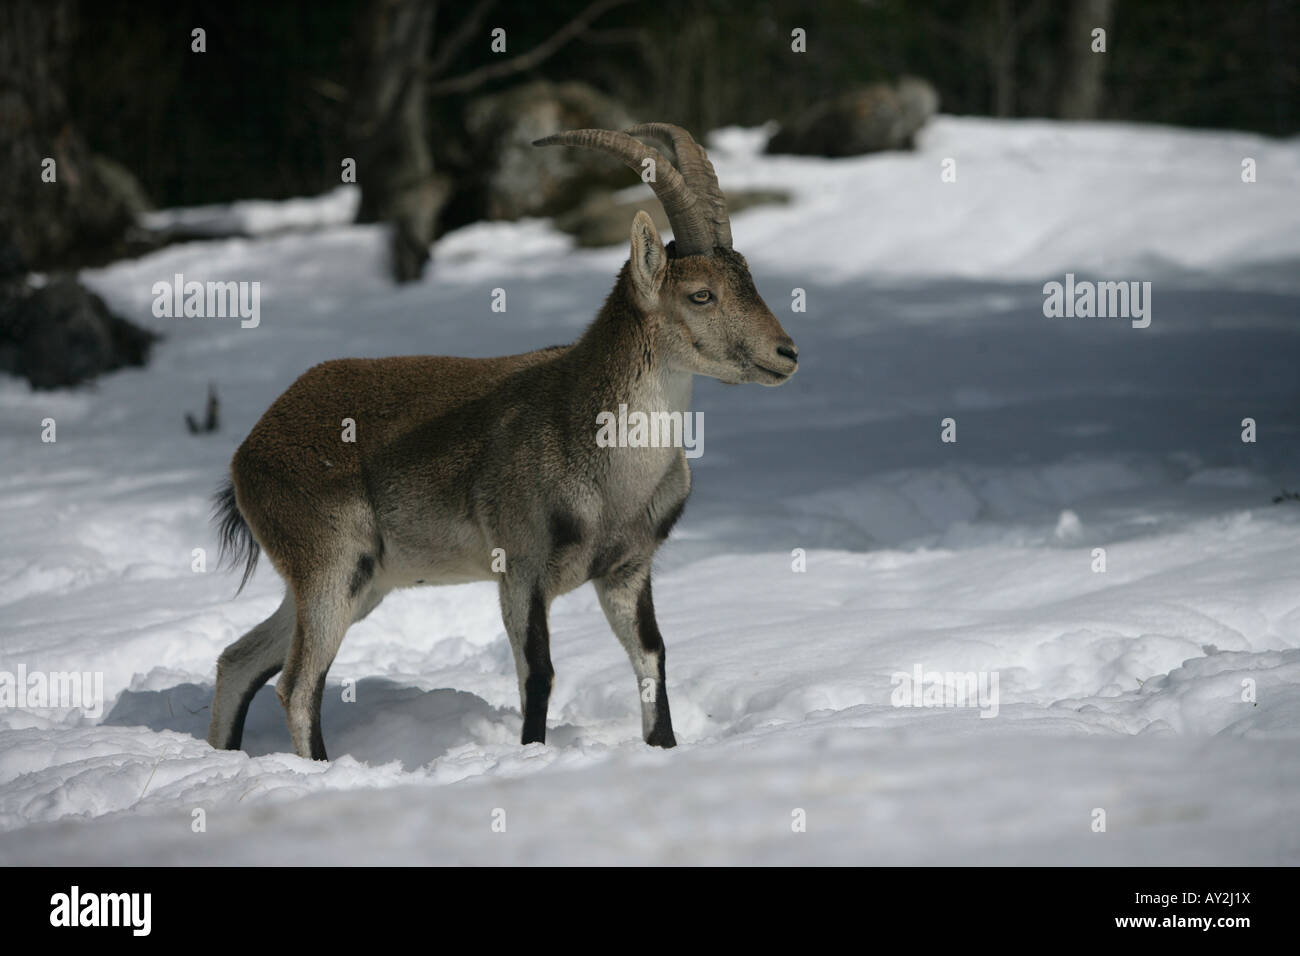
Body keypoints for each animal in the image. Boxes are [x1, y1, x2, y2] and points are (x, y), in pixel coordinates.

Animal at [207, 124, 798, 759]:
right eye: (700, 294)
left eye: (748, 279)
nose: (787, 352)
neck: (611, 465)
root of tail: (247, 453)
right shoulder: (520, 566)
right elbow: (538, 673)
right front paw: (532, 755)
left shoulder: (626, 569)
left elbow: (651, 656)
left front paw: (664, 748)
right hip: (330, 563)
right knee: (296, 685)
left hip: (358, 583)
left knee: (237, 660)